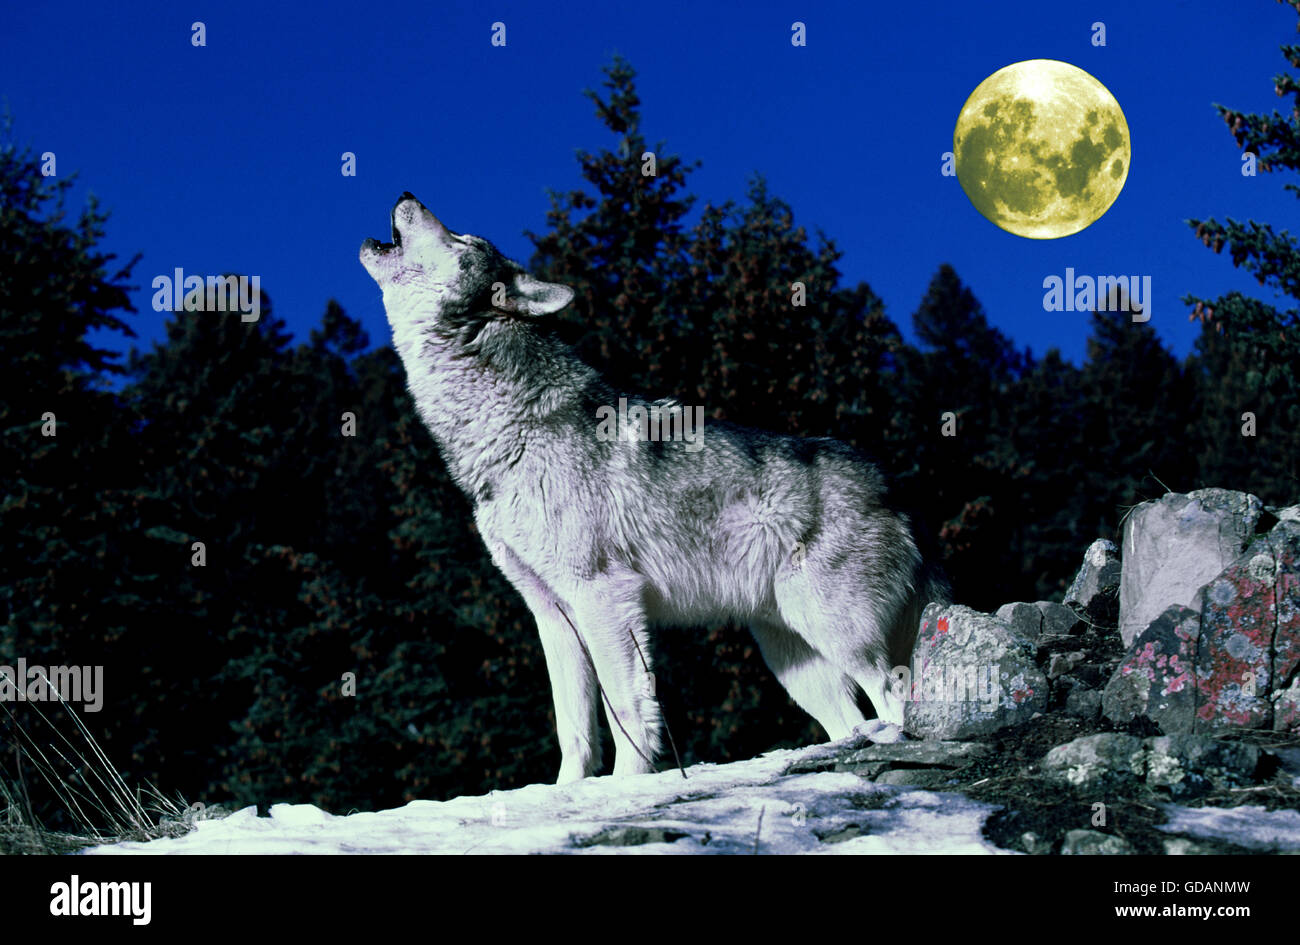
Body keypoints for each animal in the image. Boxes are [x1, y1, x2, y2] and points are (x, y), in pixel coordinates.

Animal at [361, 193, 948, 783]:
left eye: (463, 239)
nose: (406, 195)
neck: (511, 429)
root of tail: (896, 492)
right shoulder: (551, 614)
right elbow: (573, 729)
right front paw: (567, 793)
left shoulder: (605, 595)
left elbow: (627, 710)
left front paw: (625, 786)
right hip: (793, 657)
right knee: (851, 719)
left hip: (835, 632)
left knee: (893, 696)